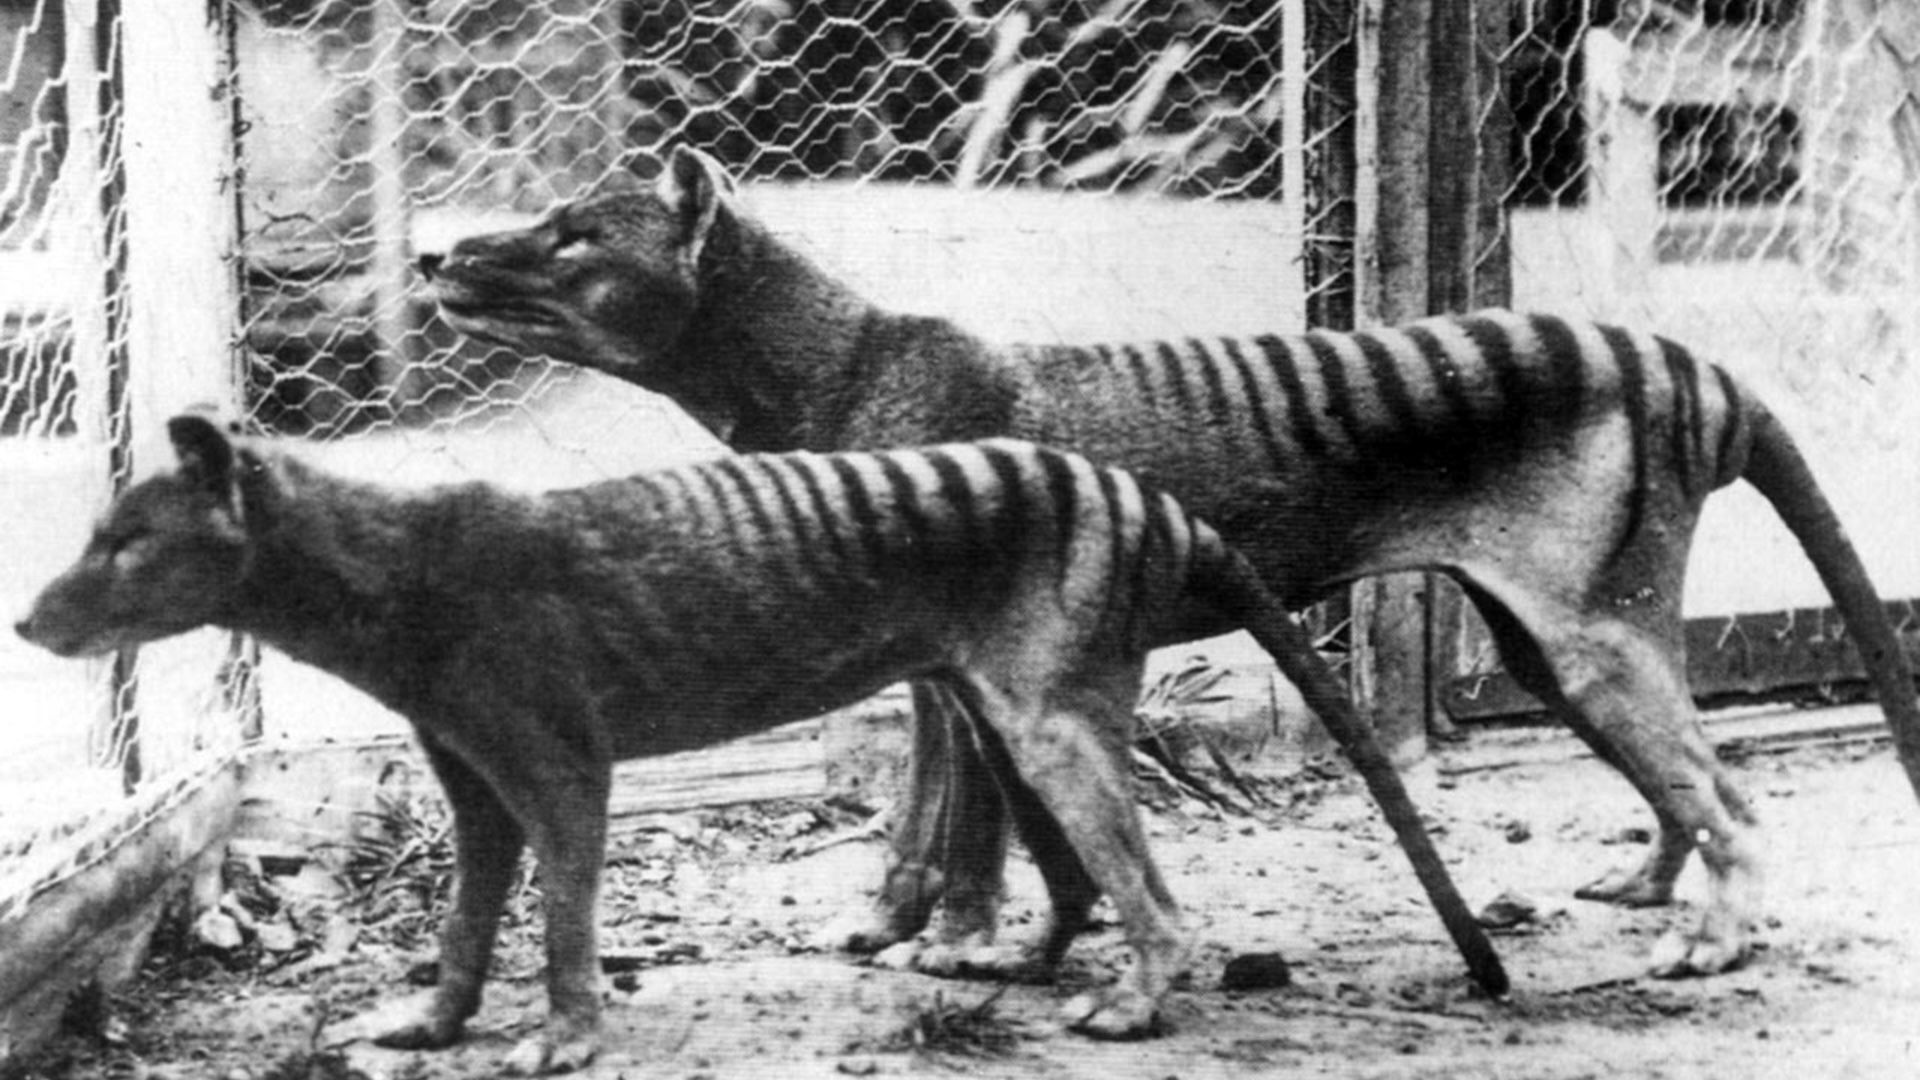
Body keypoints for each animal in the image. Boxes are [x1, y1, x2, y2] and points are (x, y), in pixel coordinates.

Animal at [16, 415, 1500, 1075]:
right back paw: (1017, 963)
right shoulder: (470, 777)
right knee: (1080, 874)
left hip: (1052, 714)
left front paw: (565, 1035)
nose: (27, 618)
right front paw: (434, 1022)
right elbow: (467, 915)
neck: (396, 569)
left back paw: (1136, 1002)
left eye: (126, 540)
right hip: (1003, 710)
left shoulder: (559, 759)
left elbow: (562, 915)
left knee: (1155, 892)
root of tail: (1147, 498)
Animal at [417, 145, 1920, 983]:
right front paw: (890, 925)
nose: (434, 255)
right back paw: (1657, 885)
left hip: (1593, 634)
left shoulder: (973, 656)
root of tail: (1690, 367)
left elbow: (967, 822)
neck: (841, 362)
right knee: (1685, 780)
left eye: (572, 233)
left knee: (1731, 792)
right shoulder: (930, 667)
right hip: (1539, 645)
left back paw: (1714, 937)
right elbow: (917, 815)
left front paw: (959, 941)